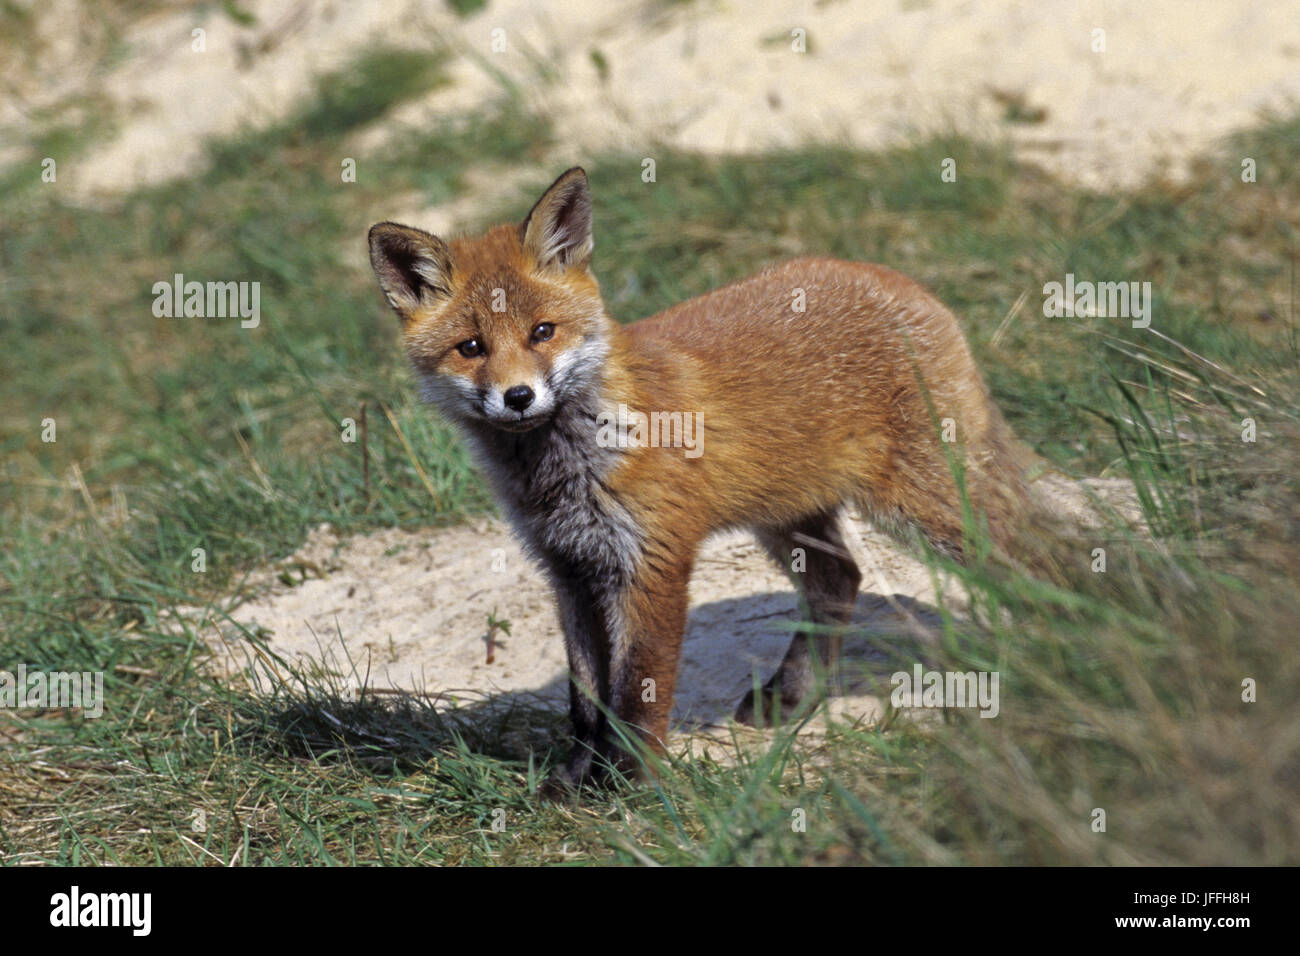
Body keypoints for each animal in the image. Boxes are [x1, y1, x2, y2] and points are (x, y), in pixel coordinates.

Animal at [368, 167, 1038, 798]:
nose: (518, 397)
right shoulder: (568, 569)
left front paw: (627, 790)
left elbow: (638, 695)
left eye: (542, 332)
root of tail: (898, 280)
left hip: (925, 506)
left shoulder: (653, 562)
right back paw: (793, 696)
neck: (564, 472)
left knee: (1026, 556)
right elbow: (586, 700)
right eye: (471, 347)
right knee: (841, 579)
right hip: (787, 516)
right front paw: (575, 780)